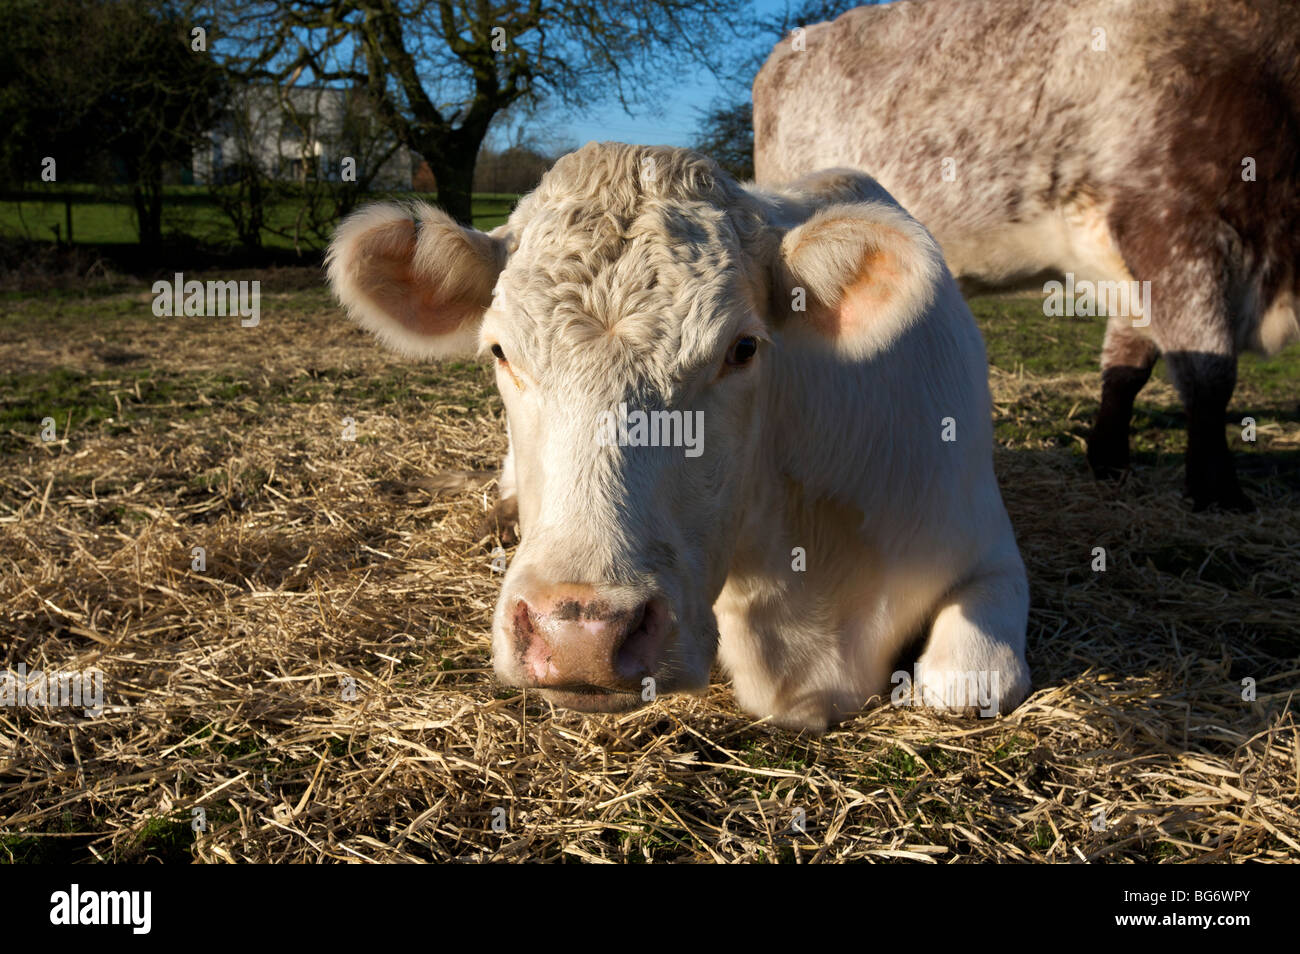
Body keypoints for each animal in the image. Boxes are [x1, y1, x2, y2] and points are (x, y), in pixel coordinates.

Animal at [754, 0, 1300, 512]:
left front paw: (1109, 460)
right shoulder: (1172, 223)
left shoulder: (1131, 263)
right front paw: (1218, 490)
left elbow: (1127, 367)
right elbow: (1209, 374)